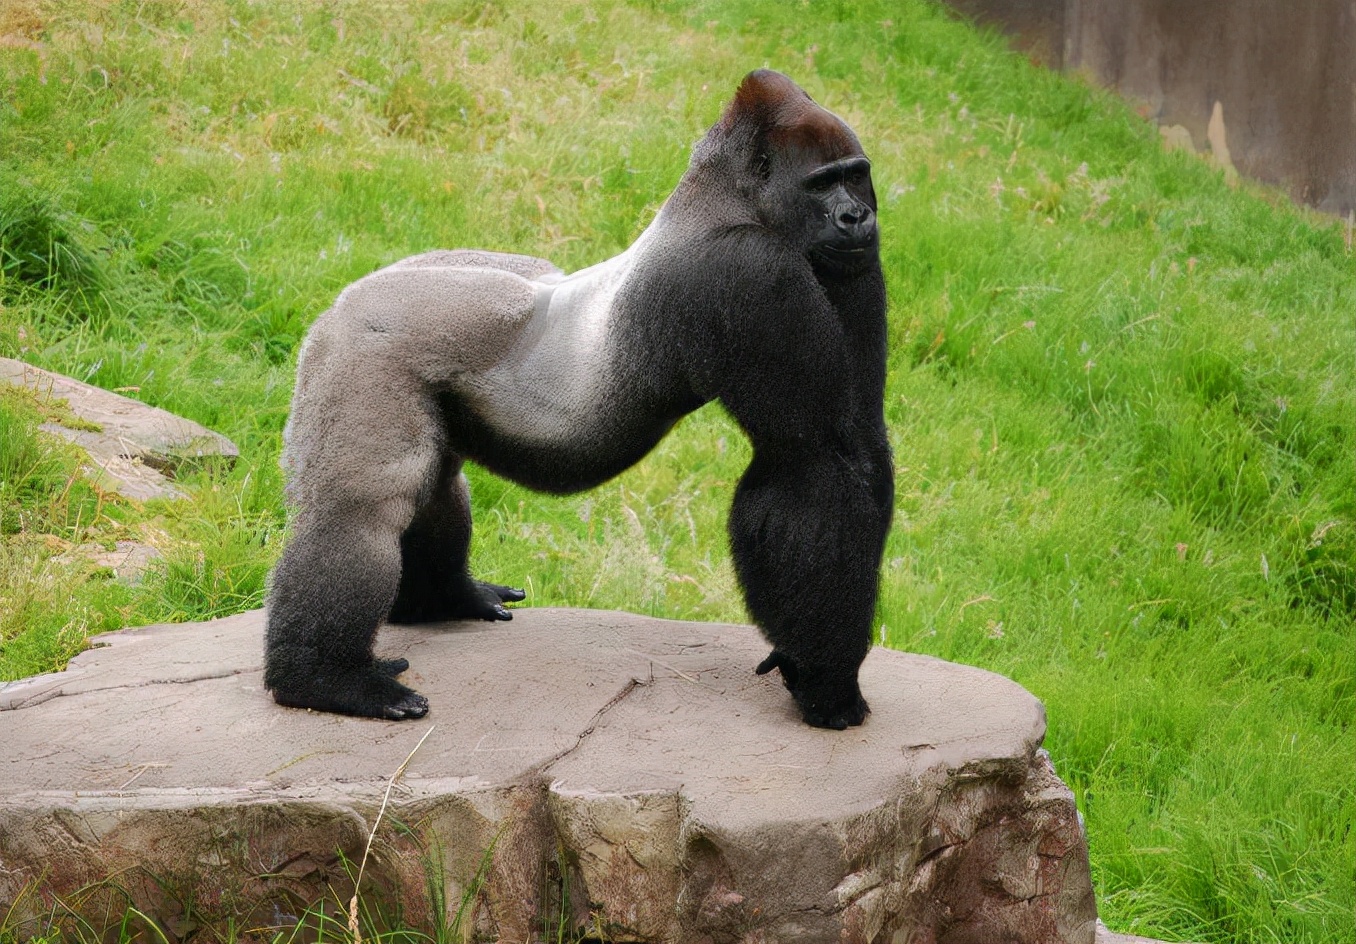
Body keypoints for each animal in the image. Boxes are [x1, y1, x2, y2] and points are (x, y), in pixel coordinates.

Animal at [264, 69, 893, 730]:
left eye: (856, 175)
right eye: (821, 183)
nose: (855, 217)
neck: (725, 196)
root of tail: (348, 295)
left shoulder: (849, 264)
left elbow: (859, 442)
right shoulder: (750, 273)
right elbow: (812, 461)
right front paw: (826, 681)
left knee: (434, 483)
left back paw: (444, 598)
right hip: (362, 346)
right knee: (361, 510)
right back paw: (324, 679)